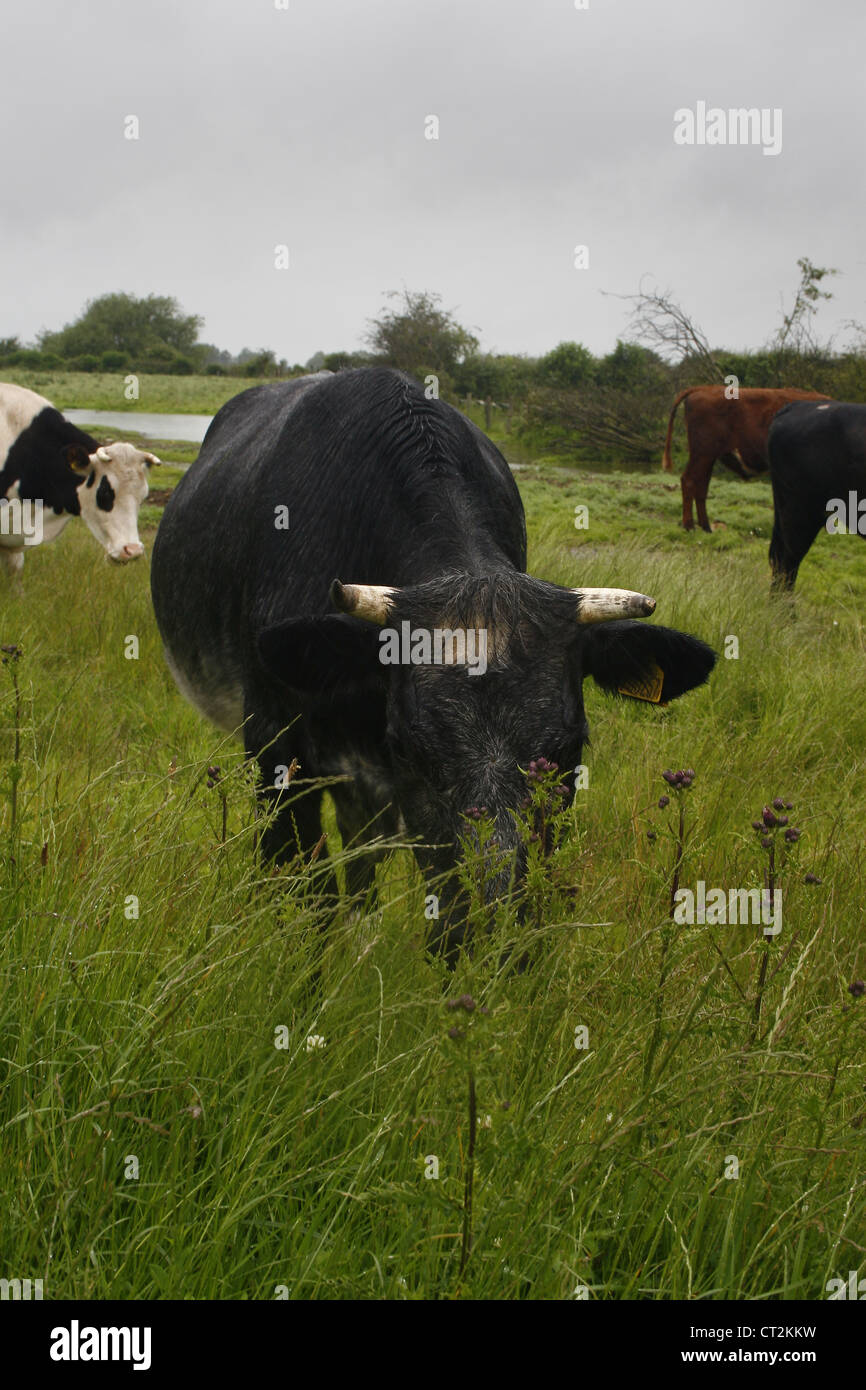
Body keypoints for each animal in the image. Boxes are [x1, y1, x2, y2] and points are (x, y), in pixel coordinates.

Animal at [662, 385, 830, 532]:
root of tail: (704, 388)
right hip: (702, 454)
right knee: (689, 481)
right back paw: (689, 526)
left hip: (707, 458)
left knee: (701, 487)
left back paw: (706, 527)